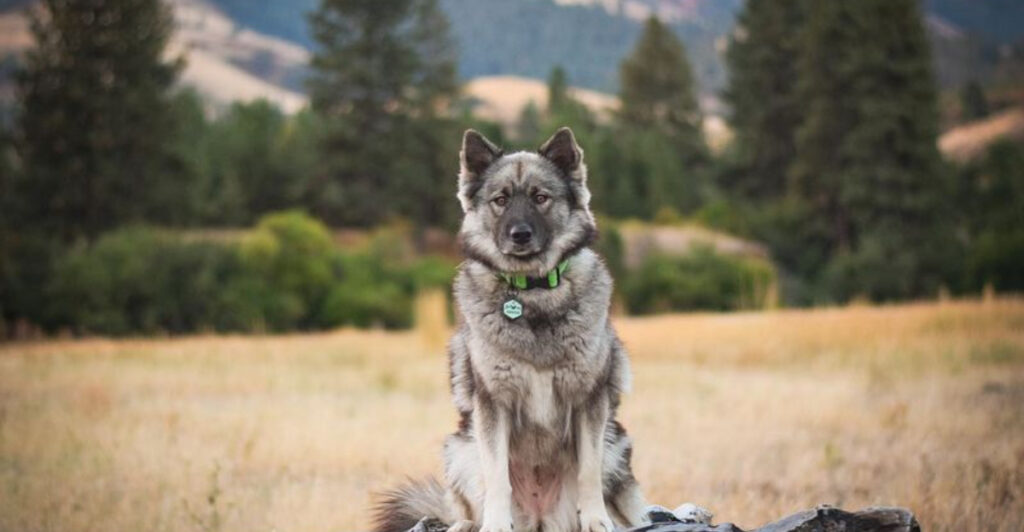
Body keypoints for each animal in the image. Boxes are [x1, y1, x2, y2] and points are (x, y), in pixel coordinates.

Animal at [373, 128, 648, 532]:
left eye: (540, 198)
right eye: (500, 200)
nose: (520, 234)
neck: (532, 292)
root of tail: (539, 518)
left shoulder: (590, 402)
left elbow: (588, 472)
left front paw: (597, 520)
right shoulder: (493, 405)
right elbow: (497, 477)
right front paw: (496, 524)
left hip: (616, 441)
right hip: (460, 446)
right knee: (465, 505)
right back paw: (466, 524)